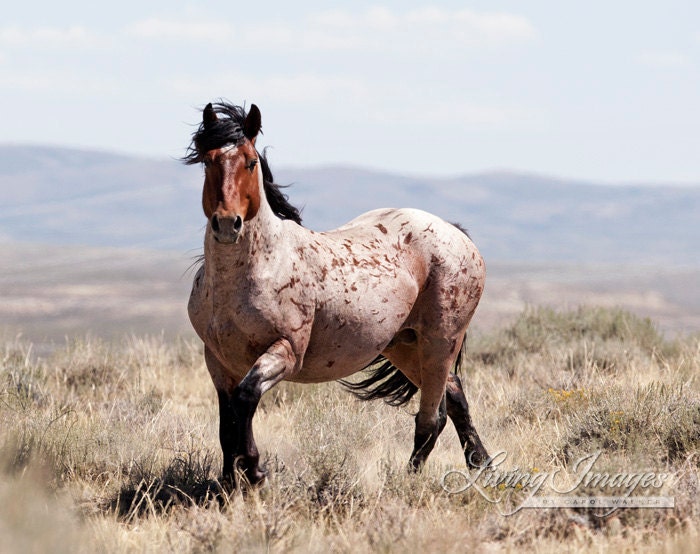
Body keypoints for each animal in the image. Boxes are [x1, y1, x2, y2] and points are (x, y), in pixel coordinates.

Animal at [184, 101, 490, 486]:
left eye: (251, 162)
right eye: (209, 161)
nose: (227, 224)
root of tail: (455, 232)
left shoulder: (285, 353)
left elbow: (245, 399)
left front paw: (255, 471)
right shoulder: (217, 361)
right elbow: (228, 426)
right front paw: (229, 484)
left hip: (440, 340)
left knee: (431, 419)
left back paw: (406, 482)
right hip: (404, 346)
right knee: (455, 397)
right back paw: (482, 466)